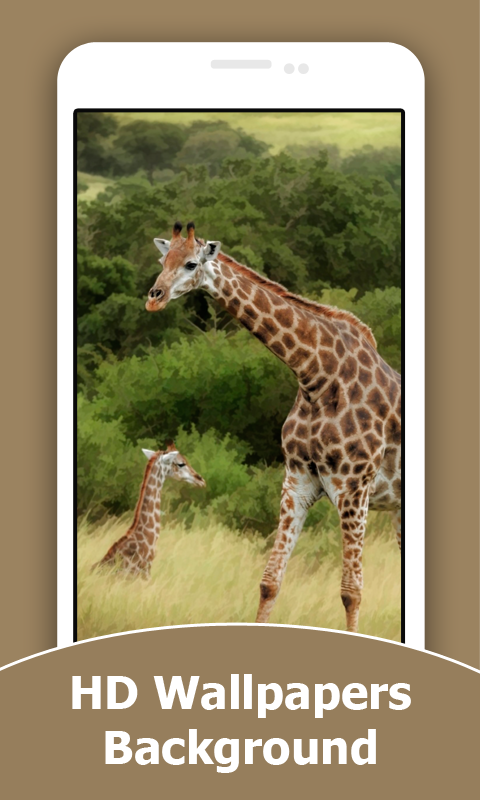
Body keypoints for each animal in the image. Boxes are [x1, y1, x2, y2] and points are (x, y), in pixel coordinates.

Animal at [145, 222, 401, 632]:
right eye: (162, 260)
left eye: (190, 264)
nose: (154, 298)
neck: (315, 377)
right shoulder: (297, 482)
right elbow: (270, 581)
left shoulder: (353, 488)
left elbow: (351, 591)